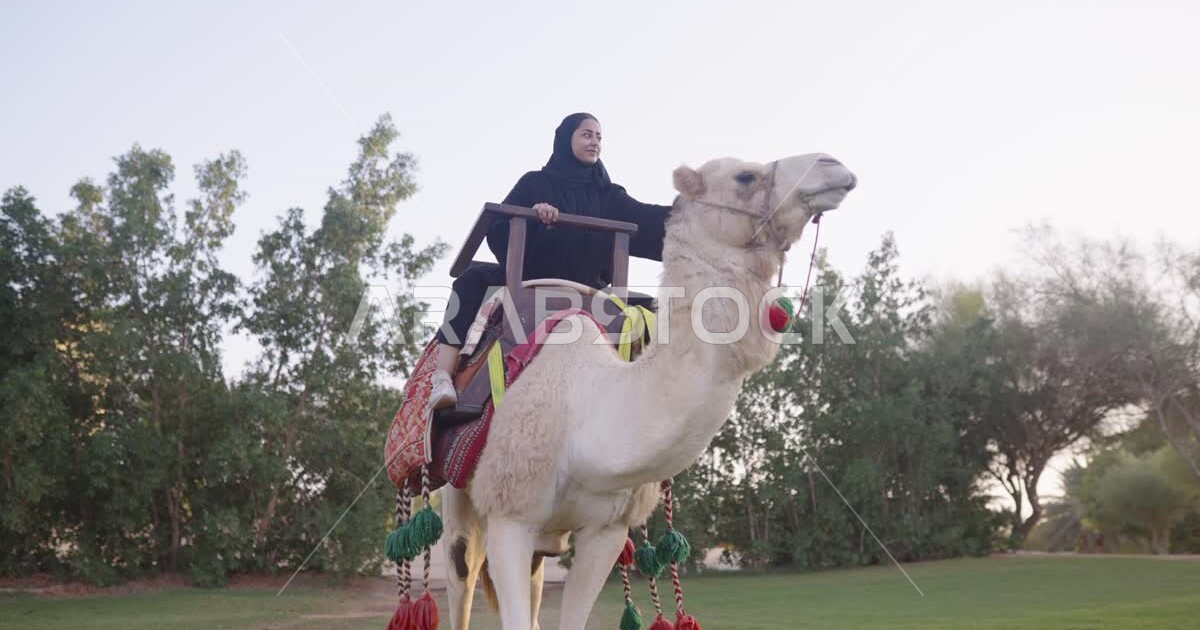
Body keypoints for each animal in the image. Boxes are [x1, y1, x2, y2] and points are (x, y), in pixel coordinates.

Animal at [441, 153, 857, 630]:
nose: (833, 165)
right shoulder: (512, 514)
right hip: (459, 496)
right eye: (745, 176)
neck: (586, 419)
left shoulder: (606, 531)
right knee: (461, 571)